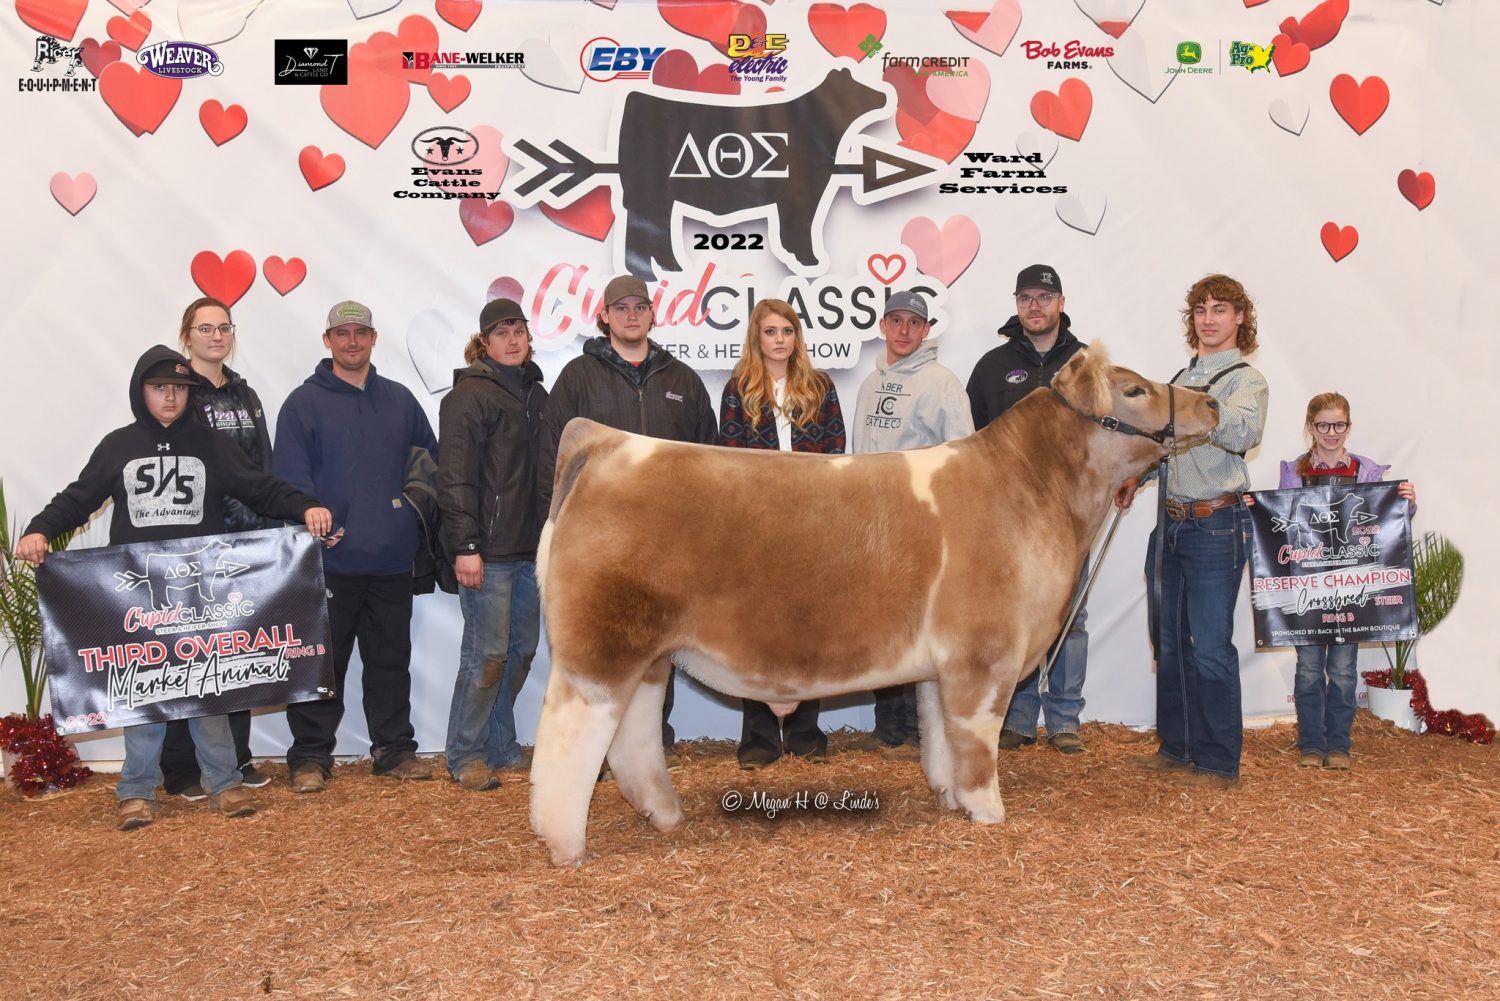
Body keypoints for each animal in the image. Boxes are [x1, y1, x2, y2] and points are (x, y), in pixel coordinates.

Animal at [529, 346, 1219, 865]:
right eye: (1133, 390)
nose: (1210, 401)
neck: (1031, 491)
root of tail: (609, 443)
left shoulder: (943, 665)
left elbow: (939, 734)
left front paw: (948, 799)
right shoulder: (984, 655)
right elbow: (976, 743)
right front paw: (989, 812)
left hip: (650, 654)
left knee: (633, 738)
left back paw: (665, 815)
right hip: (602, 648)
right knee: (567, 742)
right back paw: (565, 844)